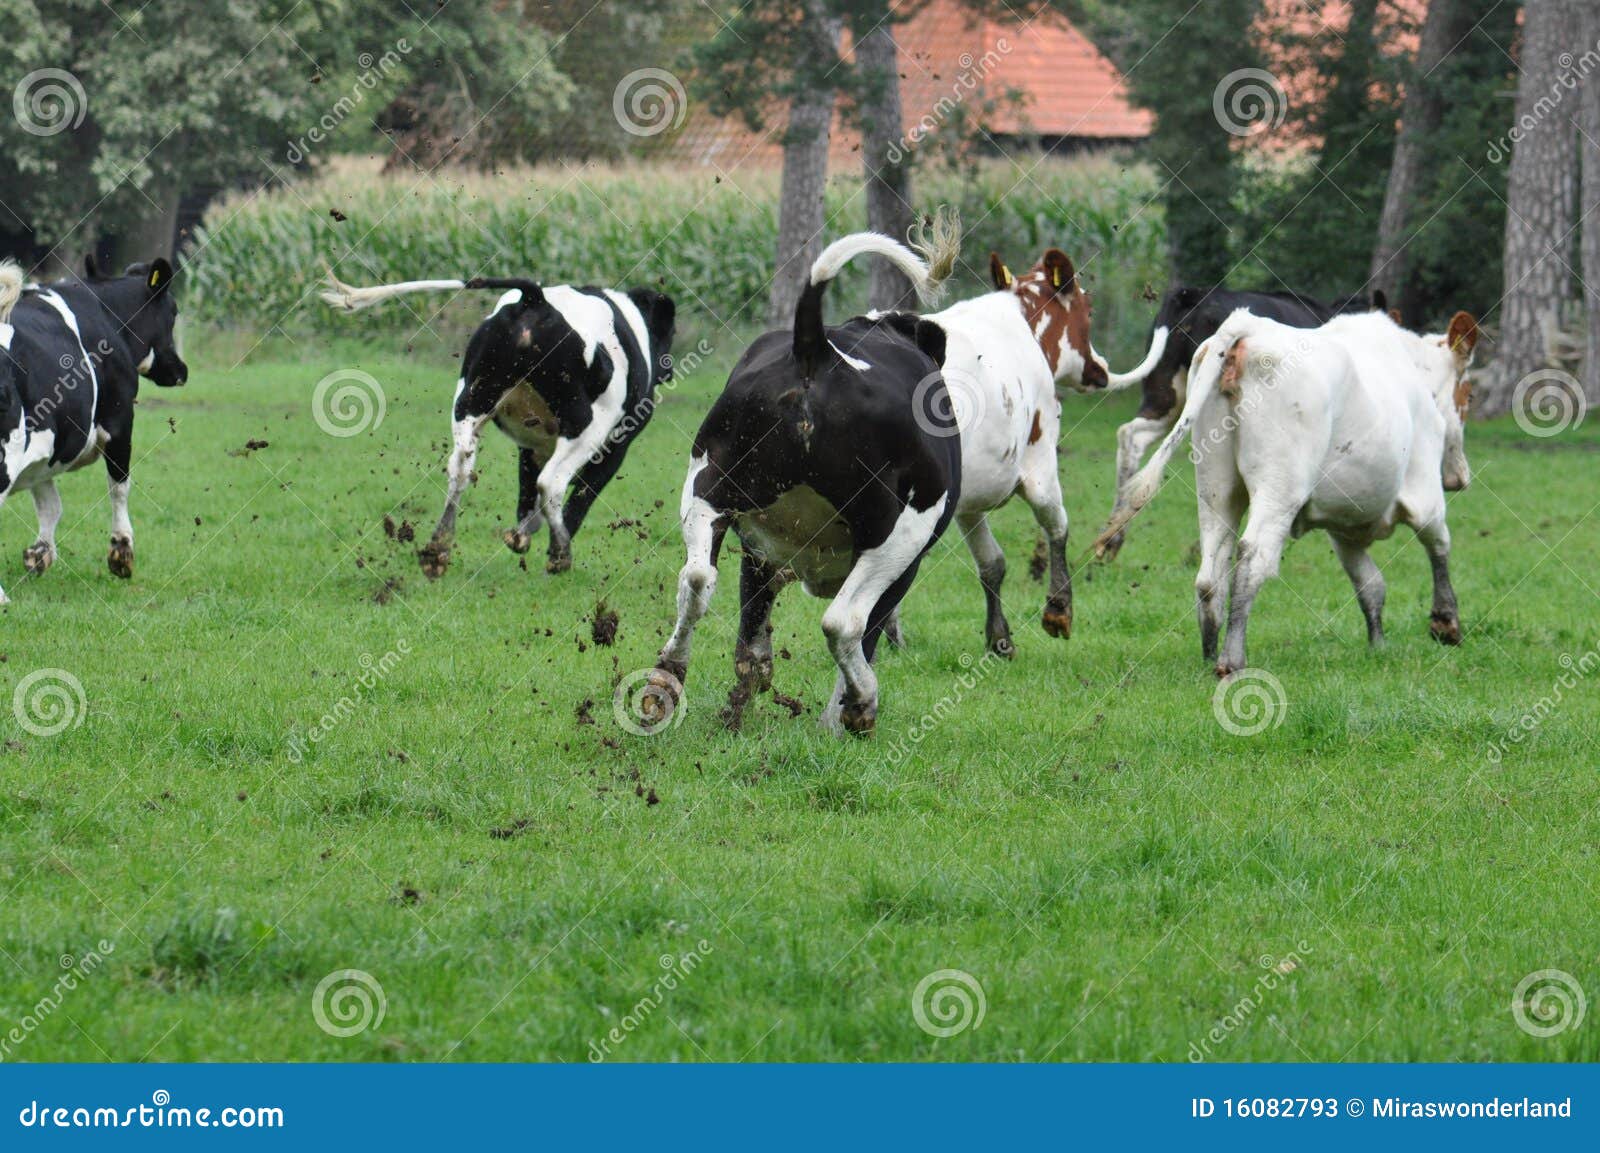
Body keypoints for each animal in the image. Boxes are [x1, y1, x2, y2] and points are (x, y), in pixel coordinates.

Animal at [0, 256, 188, 602]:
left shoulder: (49, 447)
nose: (181, 370)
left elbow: (51, 506)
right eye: (173, 312)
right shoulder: (120, 423)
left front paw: (39, 554)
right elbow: (119, 487)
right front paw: (121, 552)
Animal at [321, 270, 676, 576]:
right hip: (584, 426)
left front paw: (521, 535)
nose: (668, 370)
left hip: (471, 401)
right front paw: (547, 543)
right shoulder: (617, 447)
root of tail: (535, 300)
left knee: (461, 468)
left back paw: (438, 548)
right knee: (552, 483)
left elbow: (525, 491)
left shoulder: (530, 445)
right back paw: (560, 554)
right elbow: (579, 498)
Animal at [643, 217, 963, 736]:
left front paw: (745, 694)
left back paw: (665, 679)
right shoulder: (904, 565)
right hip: (897, 536)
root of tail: (819, 352)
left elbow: (750, 638)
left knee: (696, 579)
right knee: (843, 622)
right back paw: (861, 705)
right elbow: (866, 633)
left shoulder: (759, 555)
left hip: (708, 488)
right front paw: (839, 715)